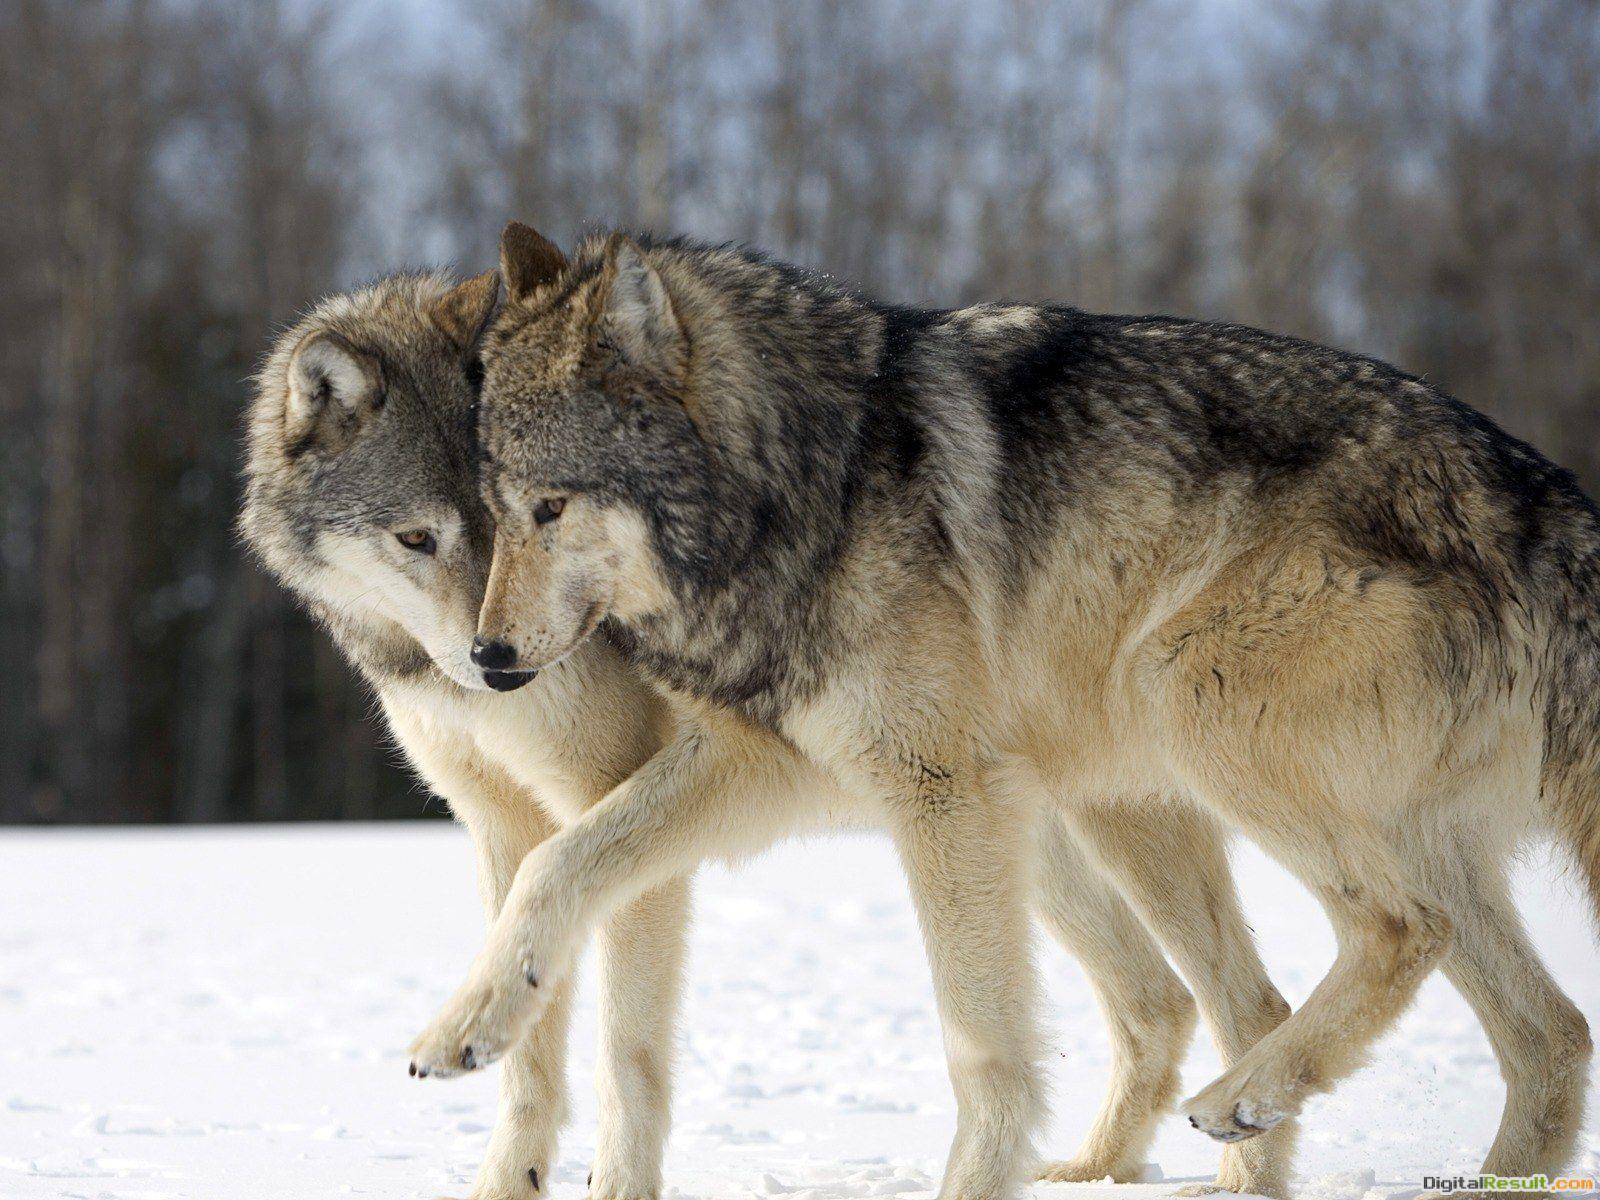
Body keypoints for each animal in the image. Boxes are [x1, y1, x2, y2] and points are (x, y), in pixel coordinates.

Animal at [240, 270, 1299, 1198]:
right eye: (418, 538)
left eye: (534, 521)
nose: (498, 663)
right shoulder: (504, 825)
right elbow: (528, 1052)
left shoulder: (627, 805)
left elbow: (622, 1048)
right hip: (1027, 835)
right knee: (1161, 1000)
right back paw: (1097, 1172)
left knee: (1216, 998)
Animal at [414, 222, 1600, 1199]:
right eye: (493, 510)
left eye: (550, 507)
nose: (489, 659)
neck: (807, 483)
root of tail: (1540, 493)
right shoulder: (769, 764)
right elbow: (556, 860)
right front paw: (468, 1022)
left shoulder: (942, 790)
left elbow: (981, 1047)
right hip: (1150, 806)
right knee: (1537, 1031)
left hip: (1183, 701)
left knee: (1399, 932)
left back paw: (1244, 1098)